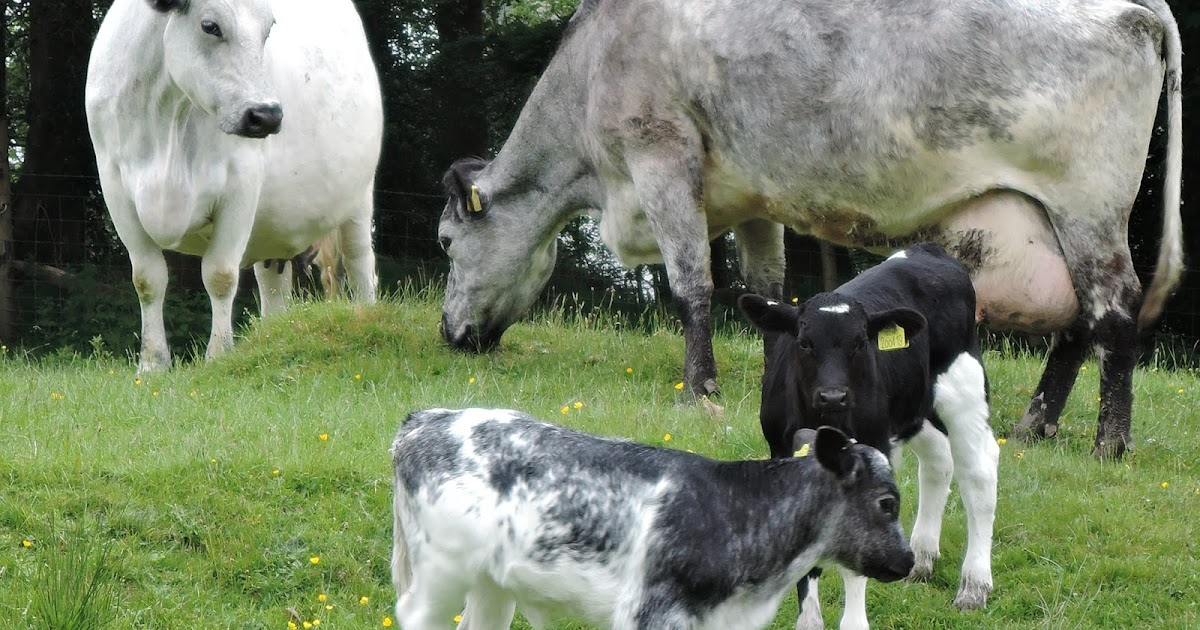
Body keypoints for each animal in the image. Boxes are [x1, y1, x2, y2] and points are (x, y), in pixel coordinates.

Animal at [85, 0, 383, 372]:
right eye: (210, 26)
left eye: (268, 28)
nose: (267, 115)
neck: (168, 115)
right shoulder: (115, 186)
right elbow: (147, 279)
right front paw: (153, 363)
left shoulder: (241, 183)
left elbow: (220, 276)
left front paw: (218, 355)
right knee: (274, 288)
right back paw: (273, 341)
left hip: (359, 197)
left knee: (360, 263)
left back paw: (365, 316)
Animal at [391, 408, 915, 630]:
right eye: (887, 502)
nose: (909, 560)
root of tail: (424, 418)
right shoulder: (652, 611)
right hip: (441, 572)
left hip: (492, 584)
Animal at [435, 0, 1183, 460]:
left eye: (445, 243)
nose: (448, 332)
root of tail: (1133, 8)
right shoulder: (751, 192)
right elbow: (764, 289)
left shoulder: (660, 155)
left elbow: (692, 285)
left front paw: (701, 391)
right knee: (1076, 320)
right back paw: (1034, 424)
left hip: (1088, 205)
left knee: (1114, 311)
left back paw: (1109, 441)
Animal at [740, 242, 998, 626]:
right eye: (804, 342)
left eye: (861, 342)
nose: (833, 396)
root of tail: (928, 249)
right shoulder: (780, 449)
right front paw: (809, 622)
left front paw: (854, 623)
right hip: (912, 407)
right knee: (938, 460)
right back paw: (920, 561)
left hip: (963, 386)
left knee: (978, 473)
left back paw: (974, 586)